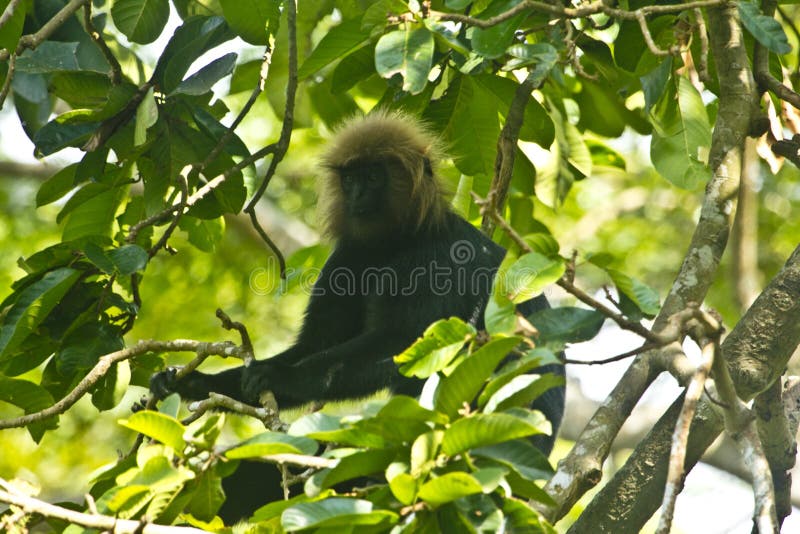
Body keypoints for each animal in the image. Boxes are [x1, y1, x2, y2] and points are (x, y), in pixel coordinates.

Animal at [150, 111, 565, 518]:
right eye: (350, 179)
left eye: (373, 176)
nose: (358, 195)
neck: (395, 244)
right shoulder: (349, 255)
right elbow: (315, 344)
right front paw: (193, 382)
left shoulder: (442, 259)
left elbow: (402, 347)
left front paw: (279, 375)